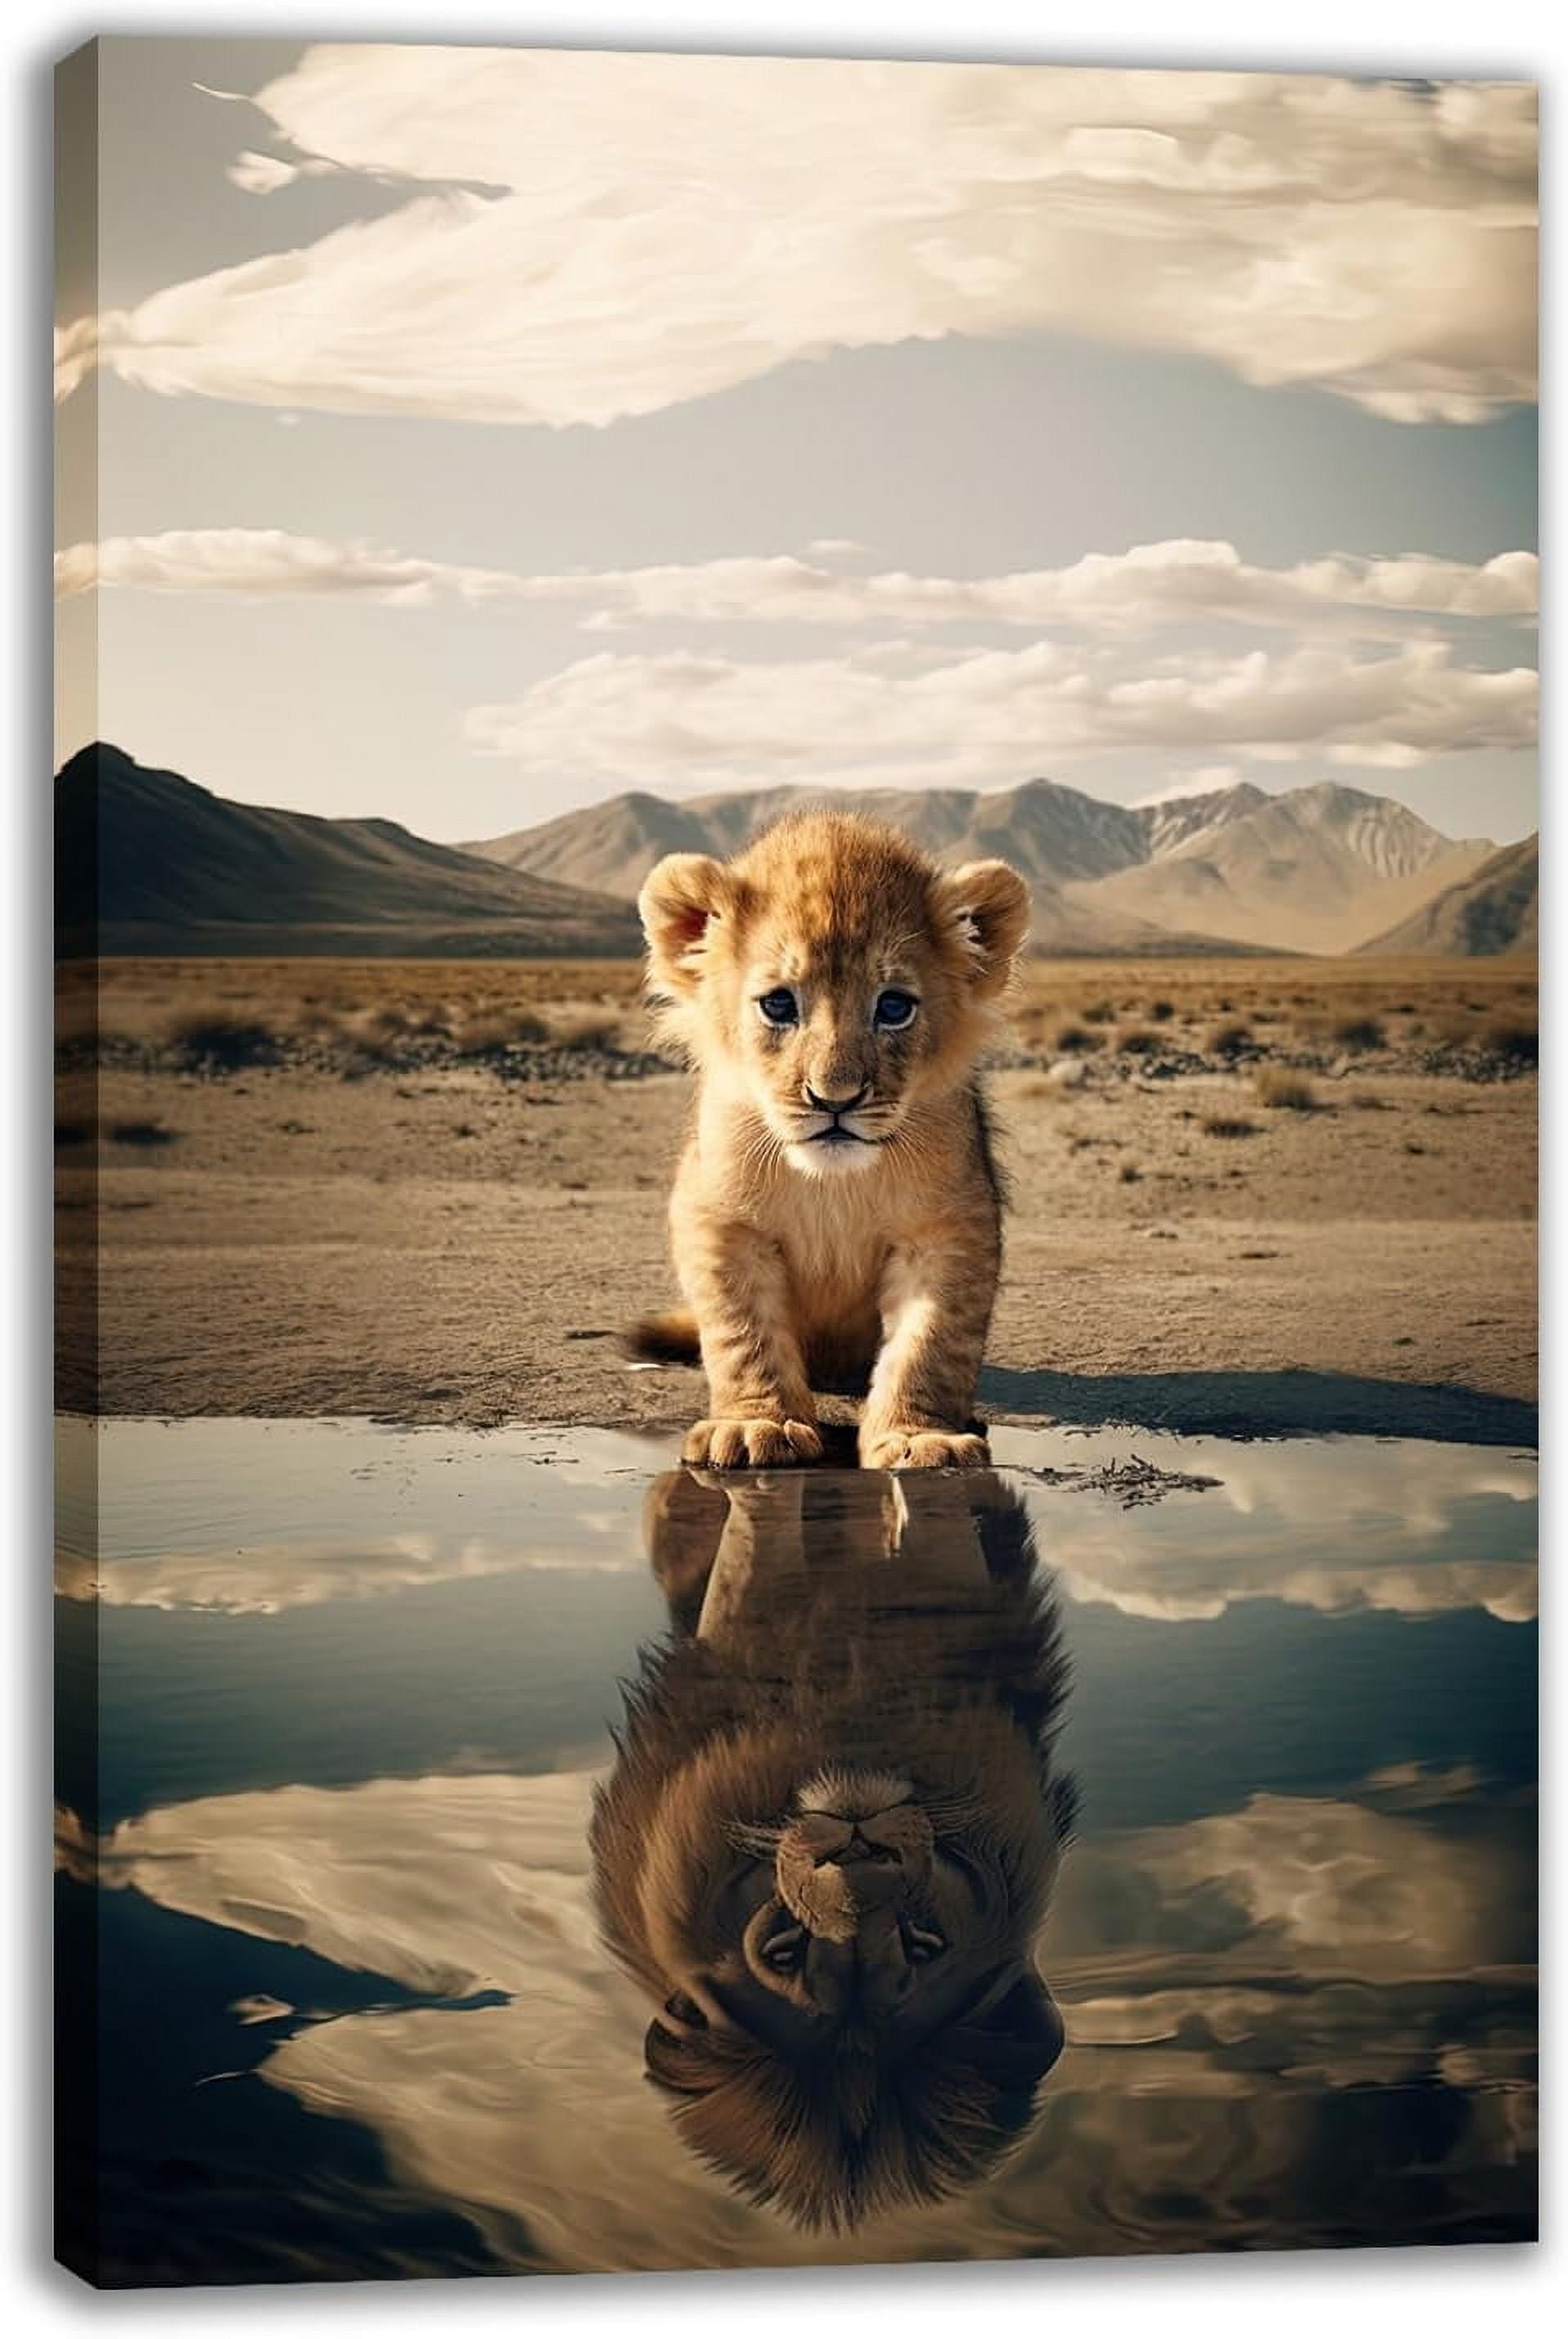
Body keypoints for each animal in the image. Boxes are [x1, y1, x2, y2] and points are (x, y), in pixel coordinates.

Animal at [630, 812, 1030, 1471]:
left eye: (893, 1007)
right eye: (778, 1004)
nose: (834, 1100)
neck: (831, 1183)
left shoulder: (947, 1229)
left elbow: (931, 1343)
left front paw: (919, 1437)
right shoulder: (723, 1222)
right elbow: (743, 1335)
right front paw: (755, 1426)